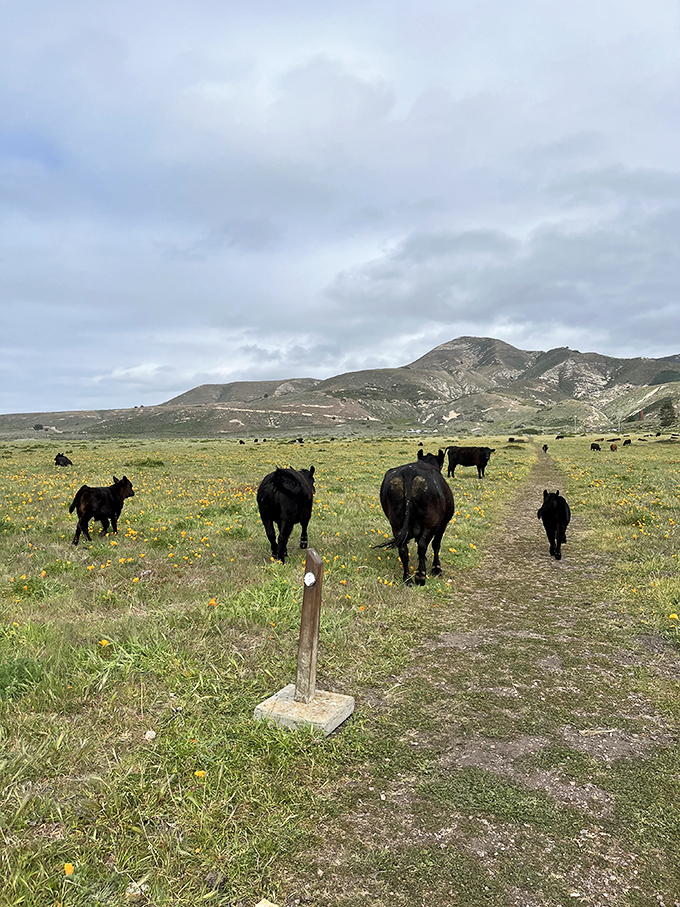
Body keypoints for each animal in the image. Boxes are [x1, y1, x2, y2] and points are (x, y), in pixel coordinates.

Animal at [376, 449, 454, 586]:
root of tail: (409, 471)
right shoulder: (443, 524)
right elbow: (436, 544)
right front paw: (436, 567)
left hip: (396, 524)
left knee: (403, 550)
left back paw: (407, 579)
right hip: (430, 523)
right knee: (423, 545)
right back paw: (420, 575)